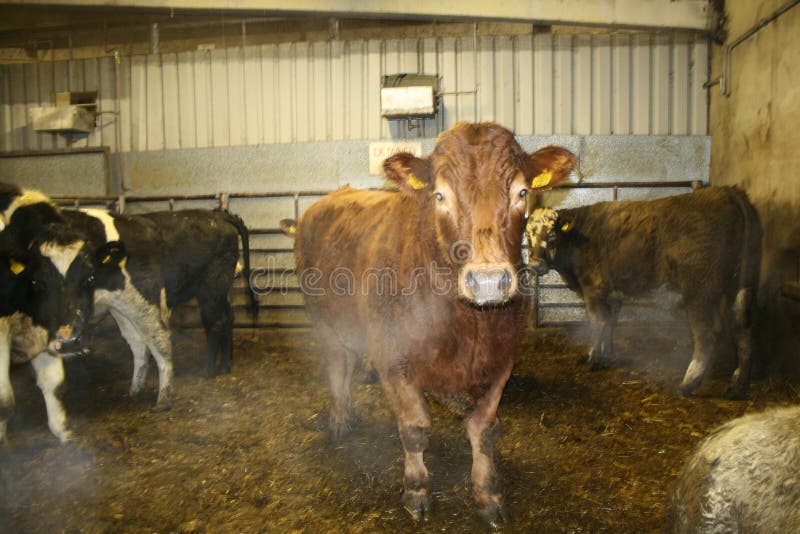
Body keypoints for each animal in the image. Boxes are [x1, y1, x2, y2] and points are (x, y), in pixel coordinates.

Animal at [0, 184, 125, 443]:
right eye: (37, 281)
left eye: (90, 278)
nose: (70, 341)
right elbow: (4, 402)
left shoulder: (46, 330)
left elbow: (54, 384)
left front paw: (62, 431)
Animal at [61, 207, 257, 409]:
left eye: (87, 277)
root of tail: (216, 214)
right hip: (219, 291)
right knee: (228, 317)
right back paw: (225, 365)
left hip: (210, 288)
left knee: (215, 323)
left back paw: (208, 370)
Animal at [292, 122, 576, 526]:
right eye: (440, 195)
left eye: (522, 191)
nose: (488, 281)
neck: (467, 327)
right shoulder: (394, 360)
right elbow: (415, 428)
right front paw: (416, 490)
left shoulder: (501, 361)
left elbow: (483, 431)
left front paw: (488, 494)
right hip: (322, 320)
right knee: (337, 368)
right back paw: (341, 418)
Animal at [525, 186, 762, 399]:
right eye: (528, 236)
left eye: (552, 234)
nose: (535, 264)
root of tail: (728, 191)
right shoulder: (613, 296)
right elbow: (610, 323)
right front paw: (607, 356)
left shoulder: (593, 289)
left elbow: (598, 323)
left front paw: (593, 360)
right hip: (740, 285)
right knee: (743, 329)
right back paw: (738, 385)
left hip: (699, 290)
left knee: (706, 336)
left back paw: (687, 384)